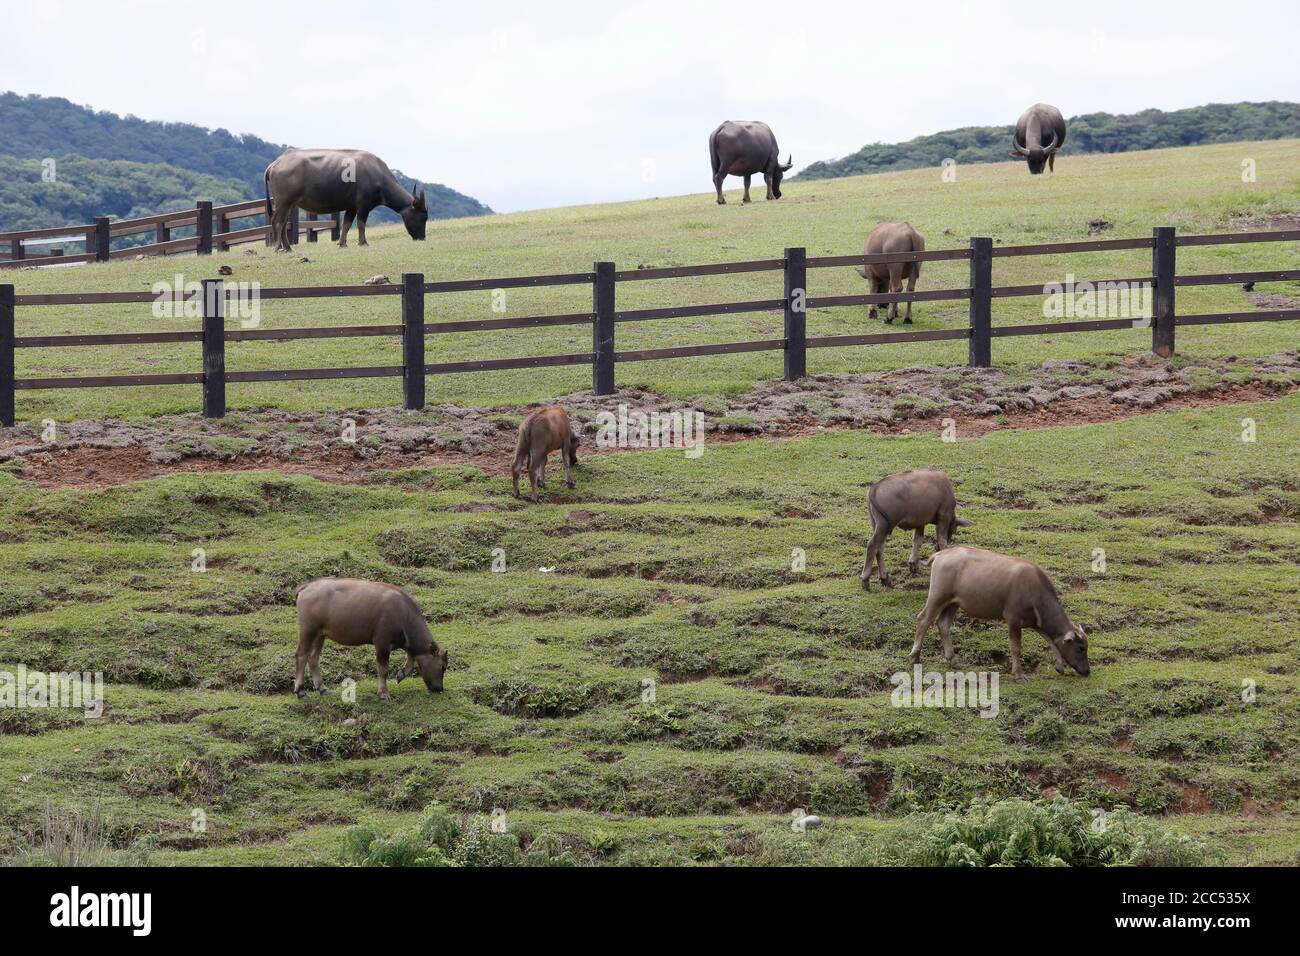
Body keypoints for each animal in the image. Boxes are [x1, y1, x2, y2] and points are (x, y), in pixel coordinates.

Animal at [264, 148, 427, 252]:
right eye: (422, 217)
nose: (422, 238)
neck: (378, 176)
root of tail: (276, 163)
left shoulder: (352, 207)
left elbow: (347, 224)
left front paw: (342, 243)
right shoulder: (363, 206)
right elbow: (361, 224)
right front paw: (363, 242)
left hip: (289, 204)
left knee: (284, 224)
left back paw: (288, 248)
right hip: (283, 202)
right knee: (277, 222)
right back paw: (278, 248)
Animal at [293, 578, 448, 700]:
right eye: (442, 666)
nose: (439, 688)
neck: (404, 613)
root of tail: (306, 587)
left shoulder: (405, 642)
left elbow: (411, 659)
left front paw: (400, 675)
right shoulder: (382, 642)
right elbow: (383, 669)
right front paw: (383, 693)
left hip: (320, 634)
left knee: (313, 657)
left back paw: (322, 688)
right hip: (308, 630)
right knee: (301, 655)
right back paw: (300, 691)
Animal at [911, 546, 1090, 681]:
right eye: (1081, 648)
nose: (1087, 671)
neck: (1034, 589)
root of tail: (941, 554)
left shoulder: (1036, 622)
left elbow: (1051, 640)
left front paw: (1059, 666)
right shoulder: (1013, 619)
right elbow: (1016, 647)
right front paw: (1018, 674)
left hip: (953, 603)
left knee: (943, 624)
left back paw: (953, 660)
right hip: (938, 596)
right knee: (923, 619)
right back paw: (915, 656)